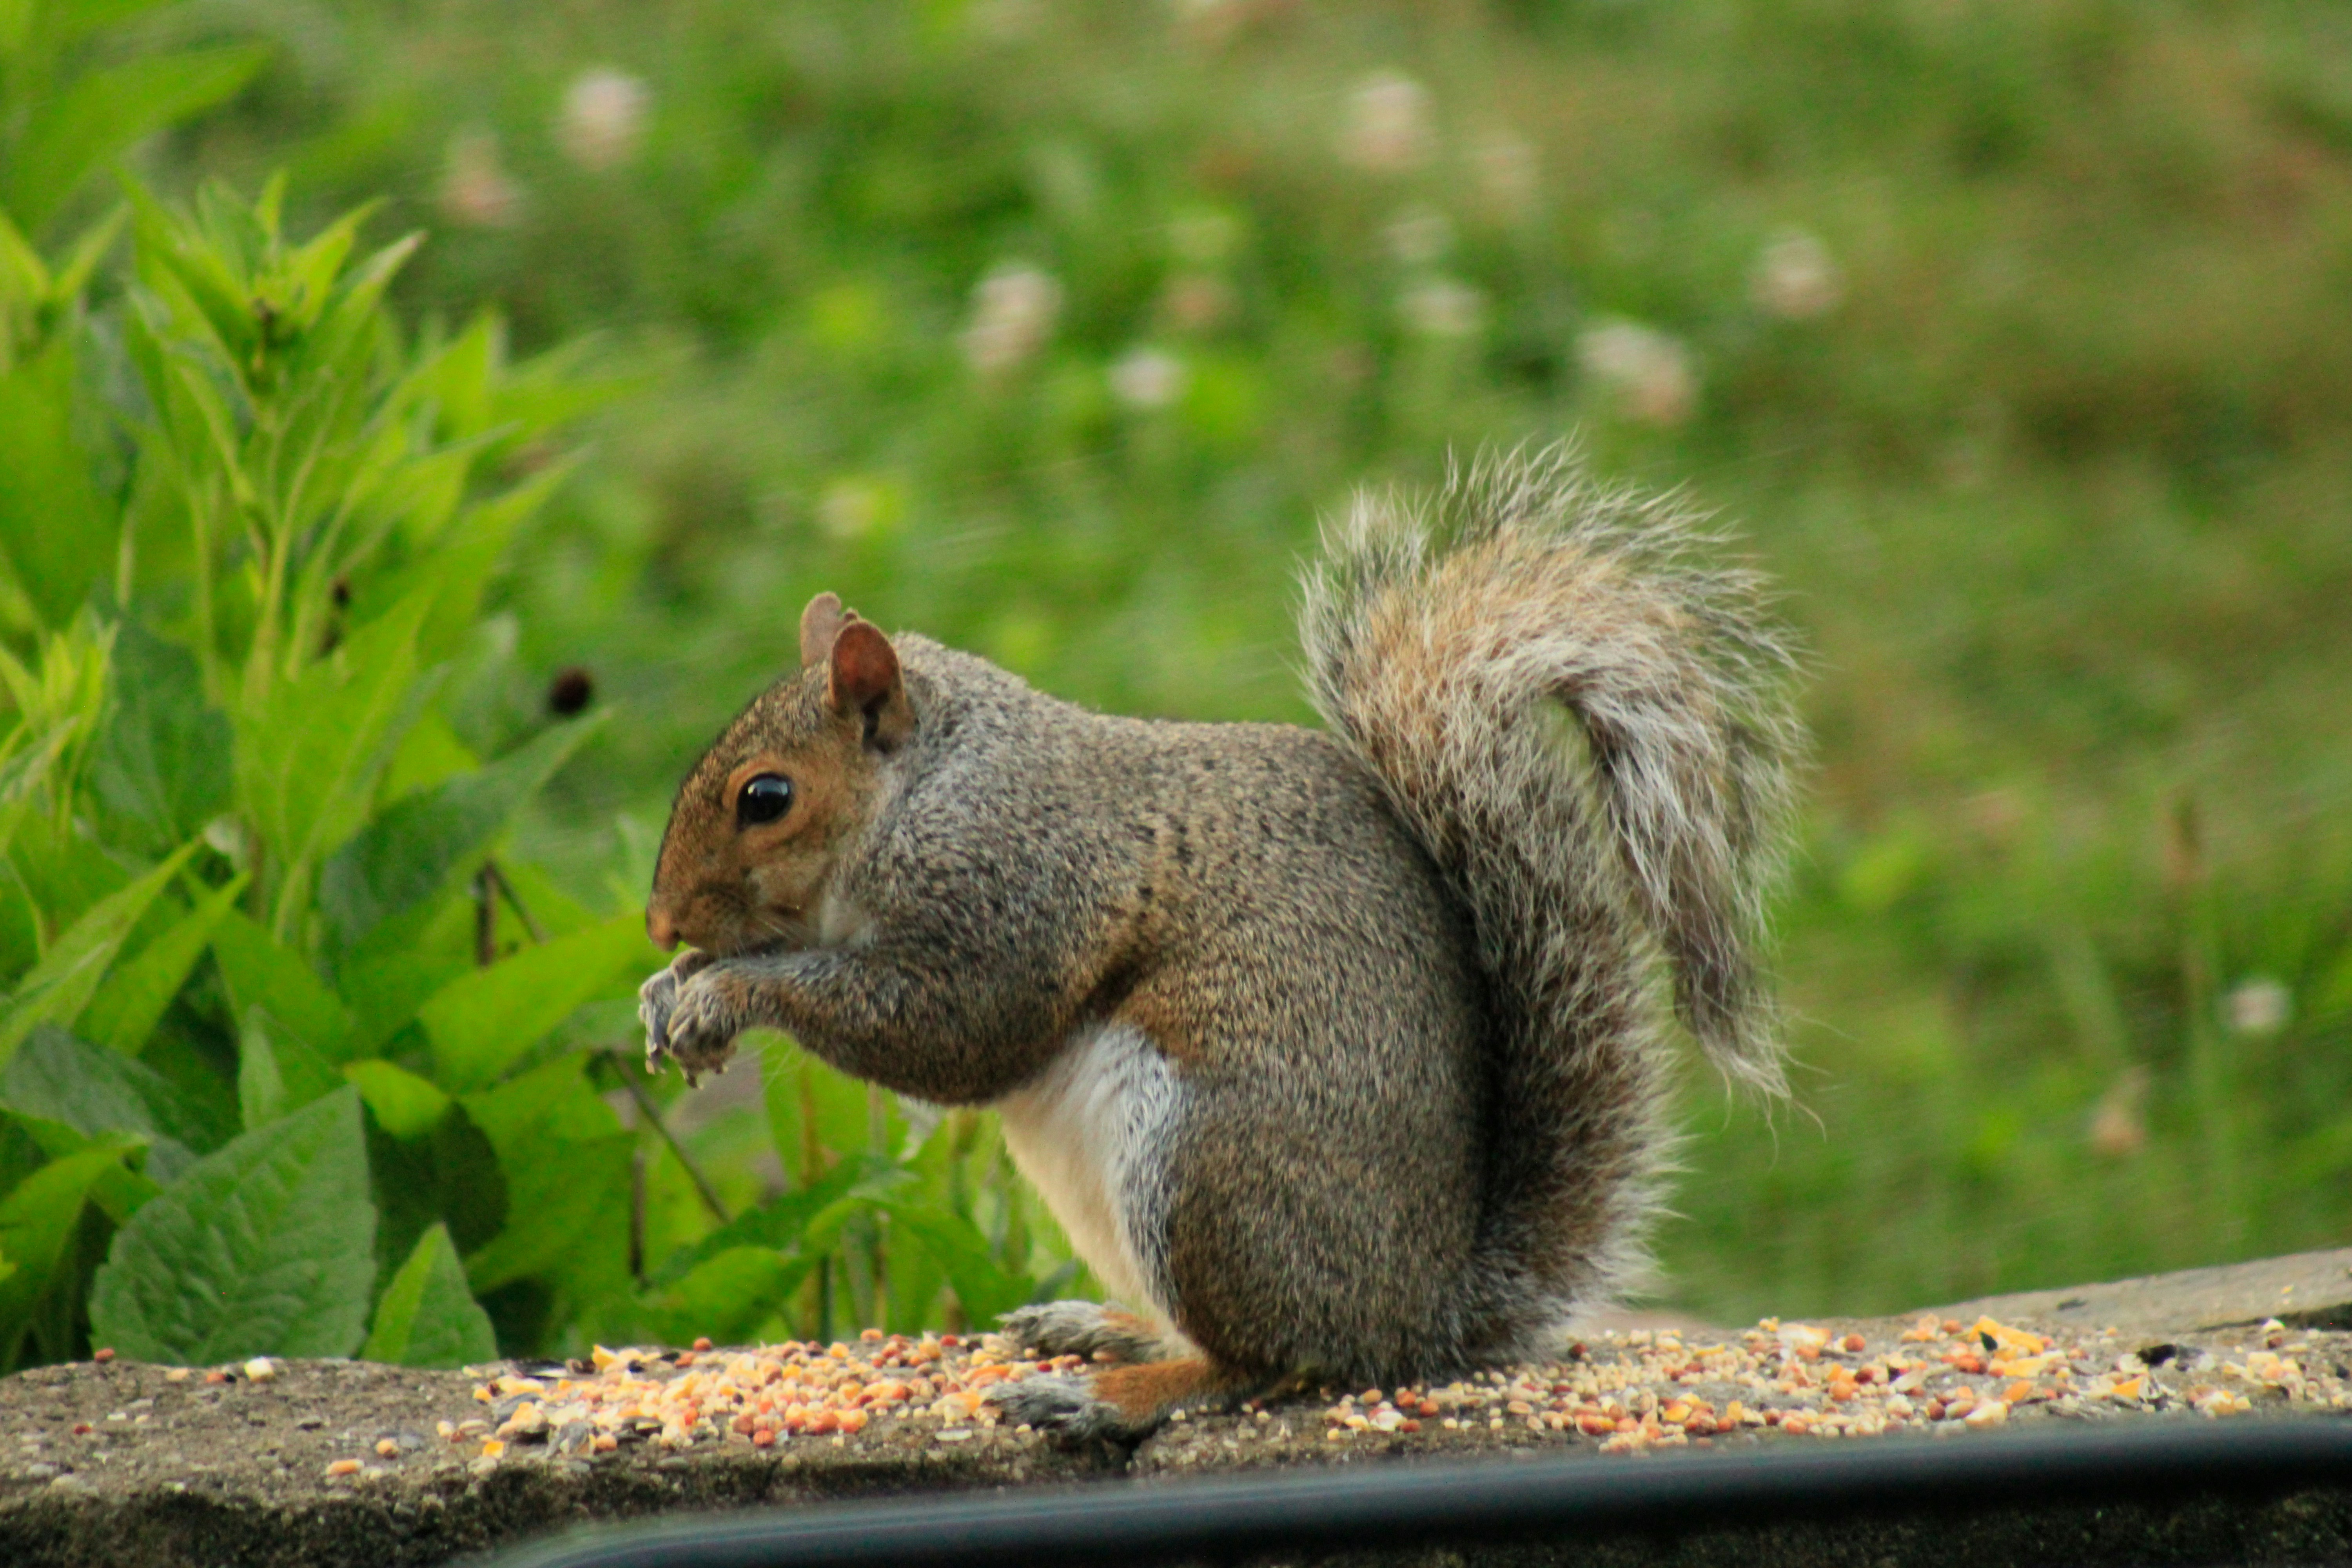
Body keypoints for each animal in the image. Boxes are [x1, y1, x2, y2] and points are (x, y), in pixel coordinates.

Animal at [638, 448, 1803, 1443]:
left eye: (767, 798)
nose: (658, 922)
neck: (926, 789)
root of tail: (1417, 1313)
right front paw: (669, 987)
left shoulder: (1019, 891)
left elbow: (955, 1031)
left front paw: (728, 989)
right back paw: (1100, 1329)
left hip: (1204, 1172)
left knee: (1265, 1361)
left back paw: (1108, 1394)